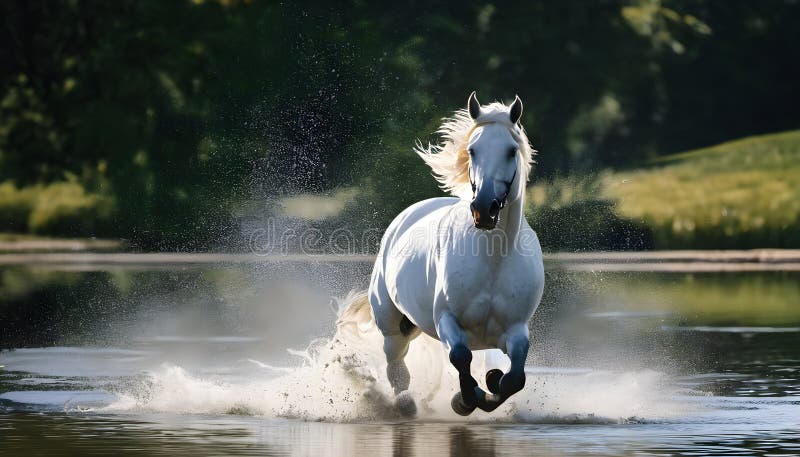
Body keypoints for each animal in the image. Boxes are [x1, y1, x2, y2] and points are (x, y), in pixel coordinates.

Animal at [367, 92, 544, 416]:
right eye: (472, 150)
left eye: (511, 151)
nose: (484, 209)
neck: (493, 260)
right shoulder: (448, 321)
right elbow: (461, 358)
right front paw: (463, 400)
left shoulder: (515, 330)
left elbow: (514, 378)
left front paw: (490, 384)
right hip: (392, 326)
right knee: (397, 369)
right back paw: (406, 405)